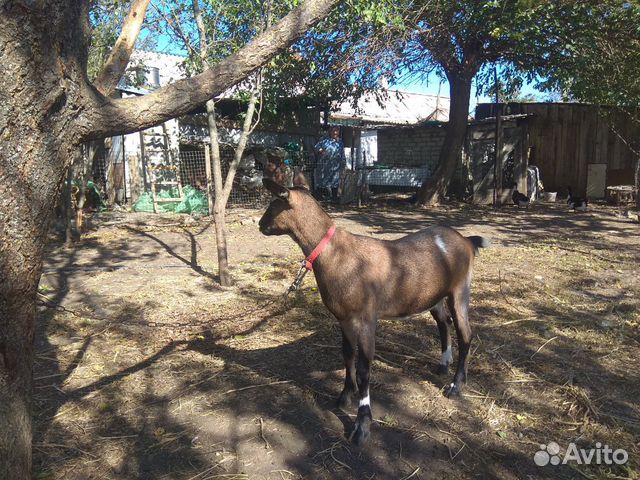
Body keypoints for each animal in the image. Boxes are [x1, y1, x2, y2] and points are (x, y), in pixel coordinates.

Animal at [258, 175, 489, 445]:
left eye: (273, 204)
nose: (260, 224)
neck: (338, 255)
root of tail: (466, 241)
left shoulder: (367, 318)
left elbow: (364, 368)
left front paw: (362, 425)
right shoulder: (344, 319)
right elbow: (347, 354)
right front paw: (344, 396)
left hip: (460, 290)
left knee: (466, 334)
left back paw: (456, 386)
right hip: (434, 297)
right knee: (444, 323)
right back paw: (443, 364)